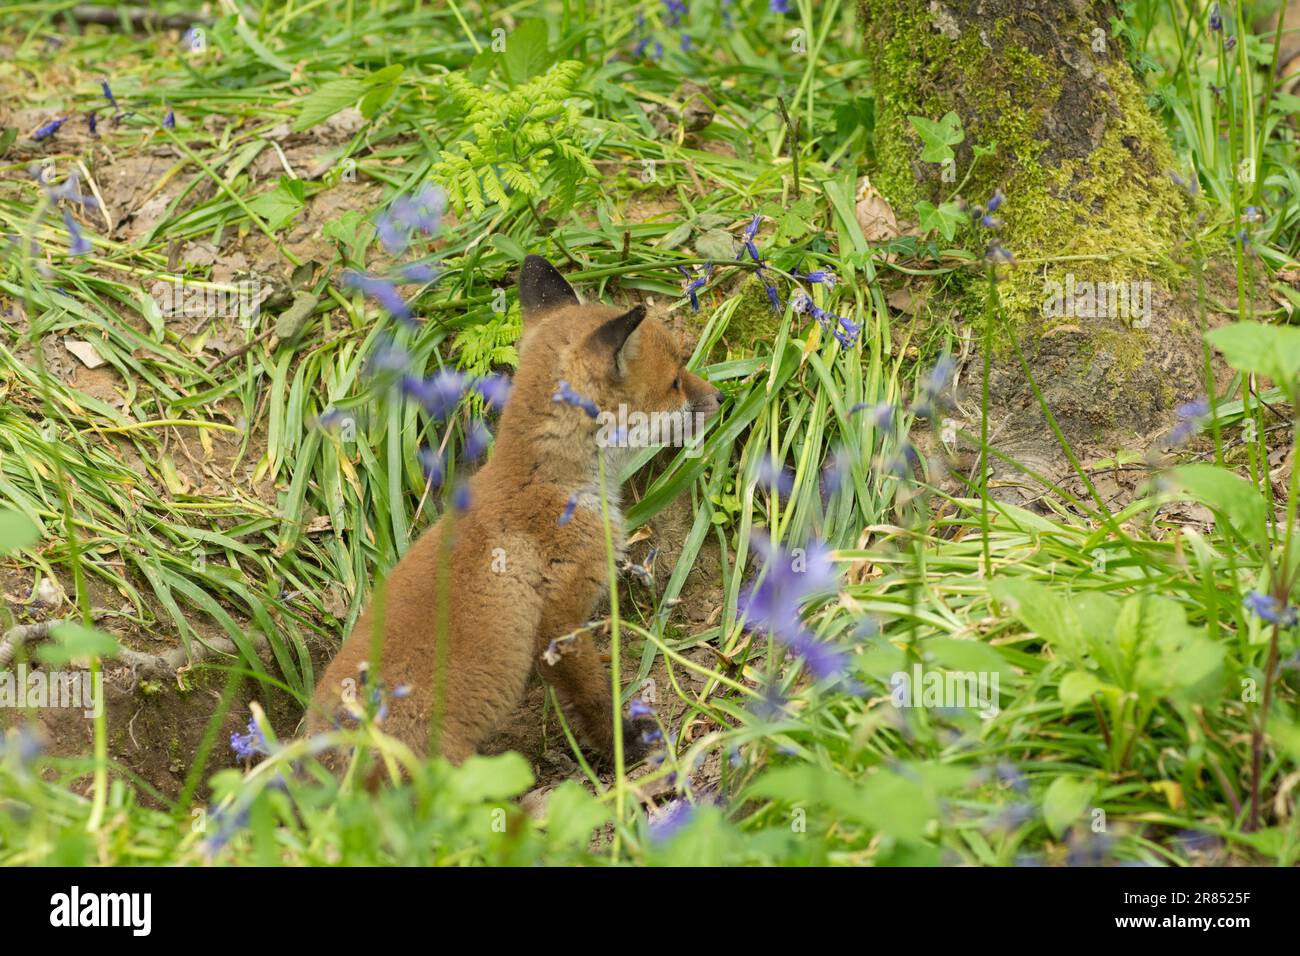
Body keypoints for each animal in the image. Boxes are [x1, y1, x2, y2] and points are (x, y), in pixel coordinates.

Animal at [305, 254, 724, 768]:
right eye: (675, 381)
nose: (721, 397)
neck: (553, 484)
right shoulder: (560, 619)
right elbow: (593, 700)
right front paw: (624, 746)